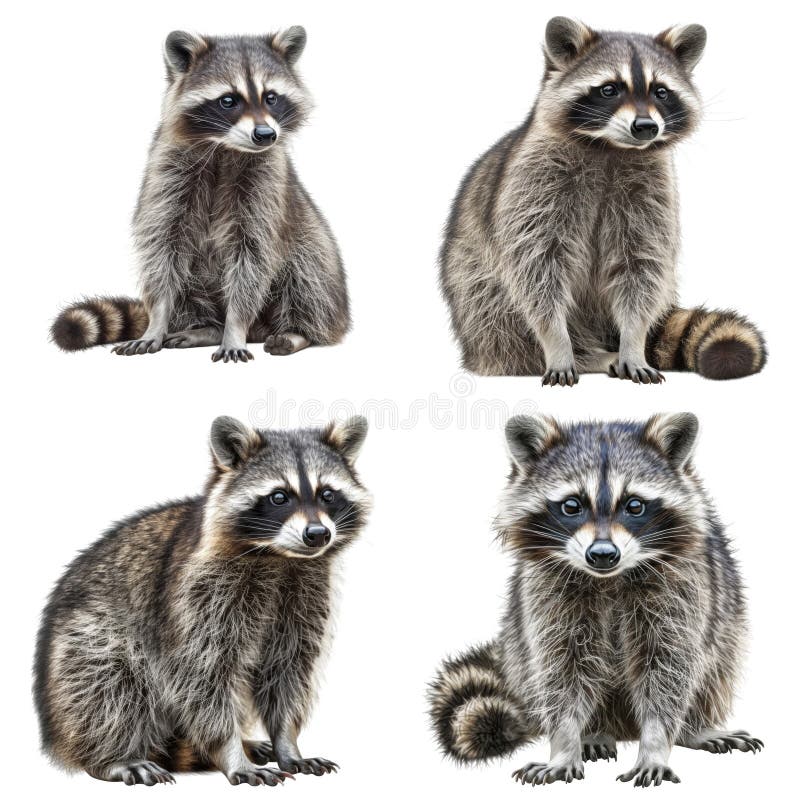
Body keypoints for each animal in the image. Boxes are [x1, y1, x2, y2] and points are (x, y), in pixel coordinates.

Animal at [34, 415, 370, 785]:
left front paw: (286, 741)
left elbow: (288, 669)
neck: (279, 557)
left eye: (328, 494)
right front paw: (231, 751)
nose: (318, 534)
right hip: (85, 639)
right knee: (107, 686)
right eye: (279, 497)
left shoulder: (306, 595)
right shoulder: (197, 596)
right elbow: (201, 674)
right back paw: (115, 756)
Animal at [51, 28, 349, 363]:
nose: (266, 135)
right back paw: (208, 328)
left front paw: (235, 327)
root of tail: (261, 328)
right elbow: (163, 248)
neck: (224, 147)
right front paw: (157, 320)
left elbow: (254, 254)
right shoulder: (167, 173)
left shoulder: (267, 184)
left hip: (315, 248)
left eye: (271, 98)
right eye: (228, 100)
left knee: (307, 275)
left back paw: (296, 332)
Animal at [429, 414, 762, 787]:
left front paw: (655, 744)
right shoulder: (546, 593)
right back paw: (594, 732)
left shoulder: (684, 589)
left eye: (634, 505)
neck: (609, 579)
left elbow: (670, 669)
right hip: (517, 649)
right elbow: (561, 672)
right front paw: (565, 743)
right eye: (572, 505)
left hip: (727, 623)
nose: (602, 554)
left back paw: (696, 727)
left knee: (717, 666)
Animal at [439, 18, 767, 384]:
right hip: (471, 290)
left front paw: (633, 343)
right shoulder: (533, 185)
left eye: (661, 92)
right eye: (609, 90)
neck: (611, 148)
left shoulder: (652, 194)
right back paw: (587, 355)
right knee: (498, 315)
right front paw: (557, 343)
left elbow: (641, 265)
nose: (646, 127)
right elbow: (537, 269)